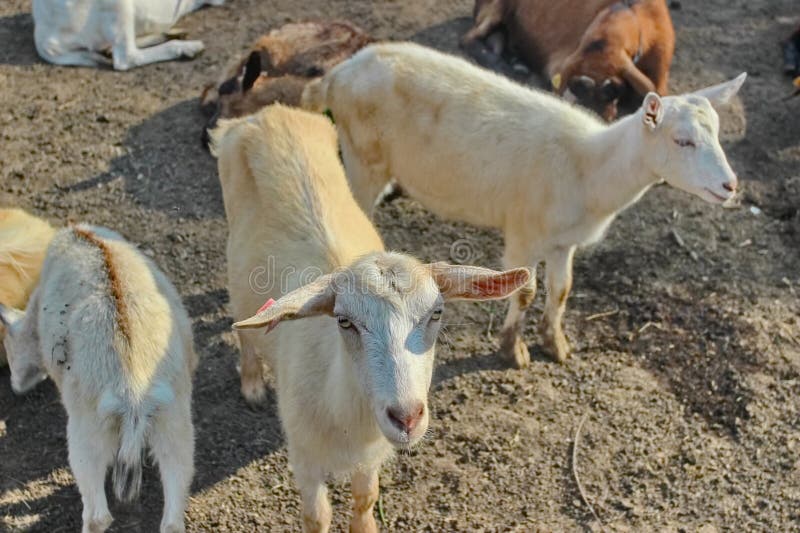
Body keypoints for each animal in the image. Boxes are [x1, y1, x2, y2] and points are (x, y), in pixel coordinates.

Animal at [1, 225, 197, 533]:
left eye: (8, 344)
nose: (15, 386)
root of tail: (134, 391)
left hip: (86, 431)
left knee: (97, 514)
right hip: (176, 422)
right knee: (174, 509)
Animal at [210, 104, 529, 532]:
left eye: (437, 313)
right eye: (344, 321)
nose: (406, 417)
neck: (347, 411)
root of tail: (267, 113)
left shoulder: (372, 453)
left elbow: (366, 498)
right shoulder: (304, 457)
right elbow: (316, 516)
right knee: (242, 324)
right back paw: (252, 383)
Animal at [302, 42, 745, 368]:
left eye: (717, 132)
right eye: (682, 141)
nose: (730, 185)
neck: (589, 168)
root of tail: (338, 75)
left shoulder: (564, 241)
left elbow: (562, 290)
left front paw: (557, 344)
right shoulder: (523, 233)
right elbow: (526, 292)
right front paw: (512, 350)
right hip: (363, 156)